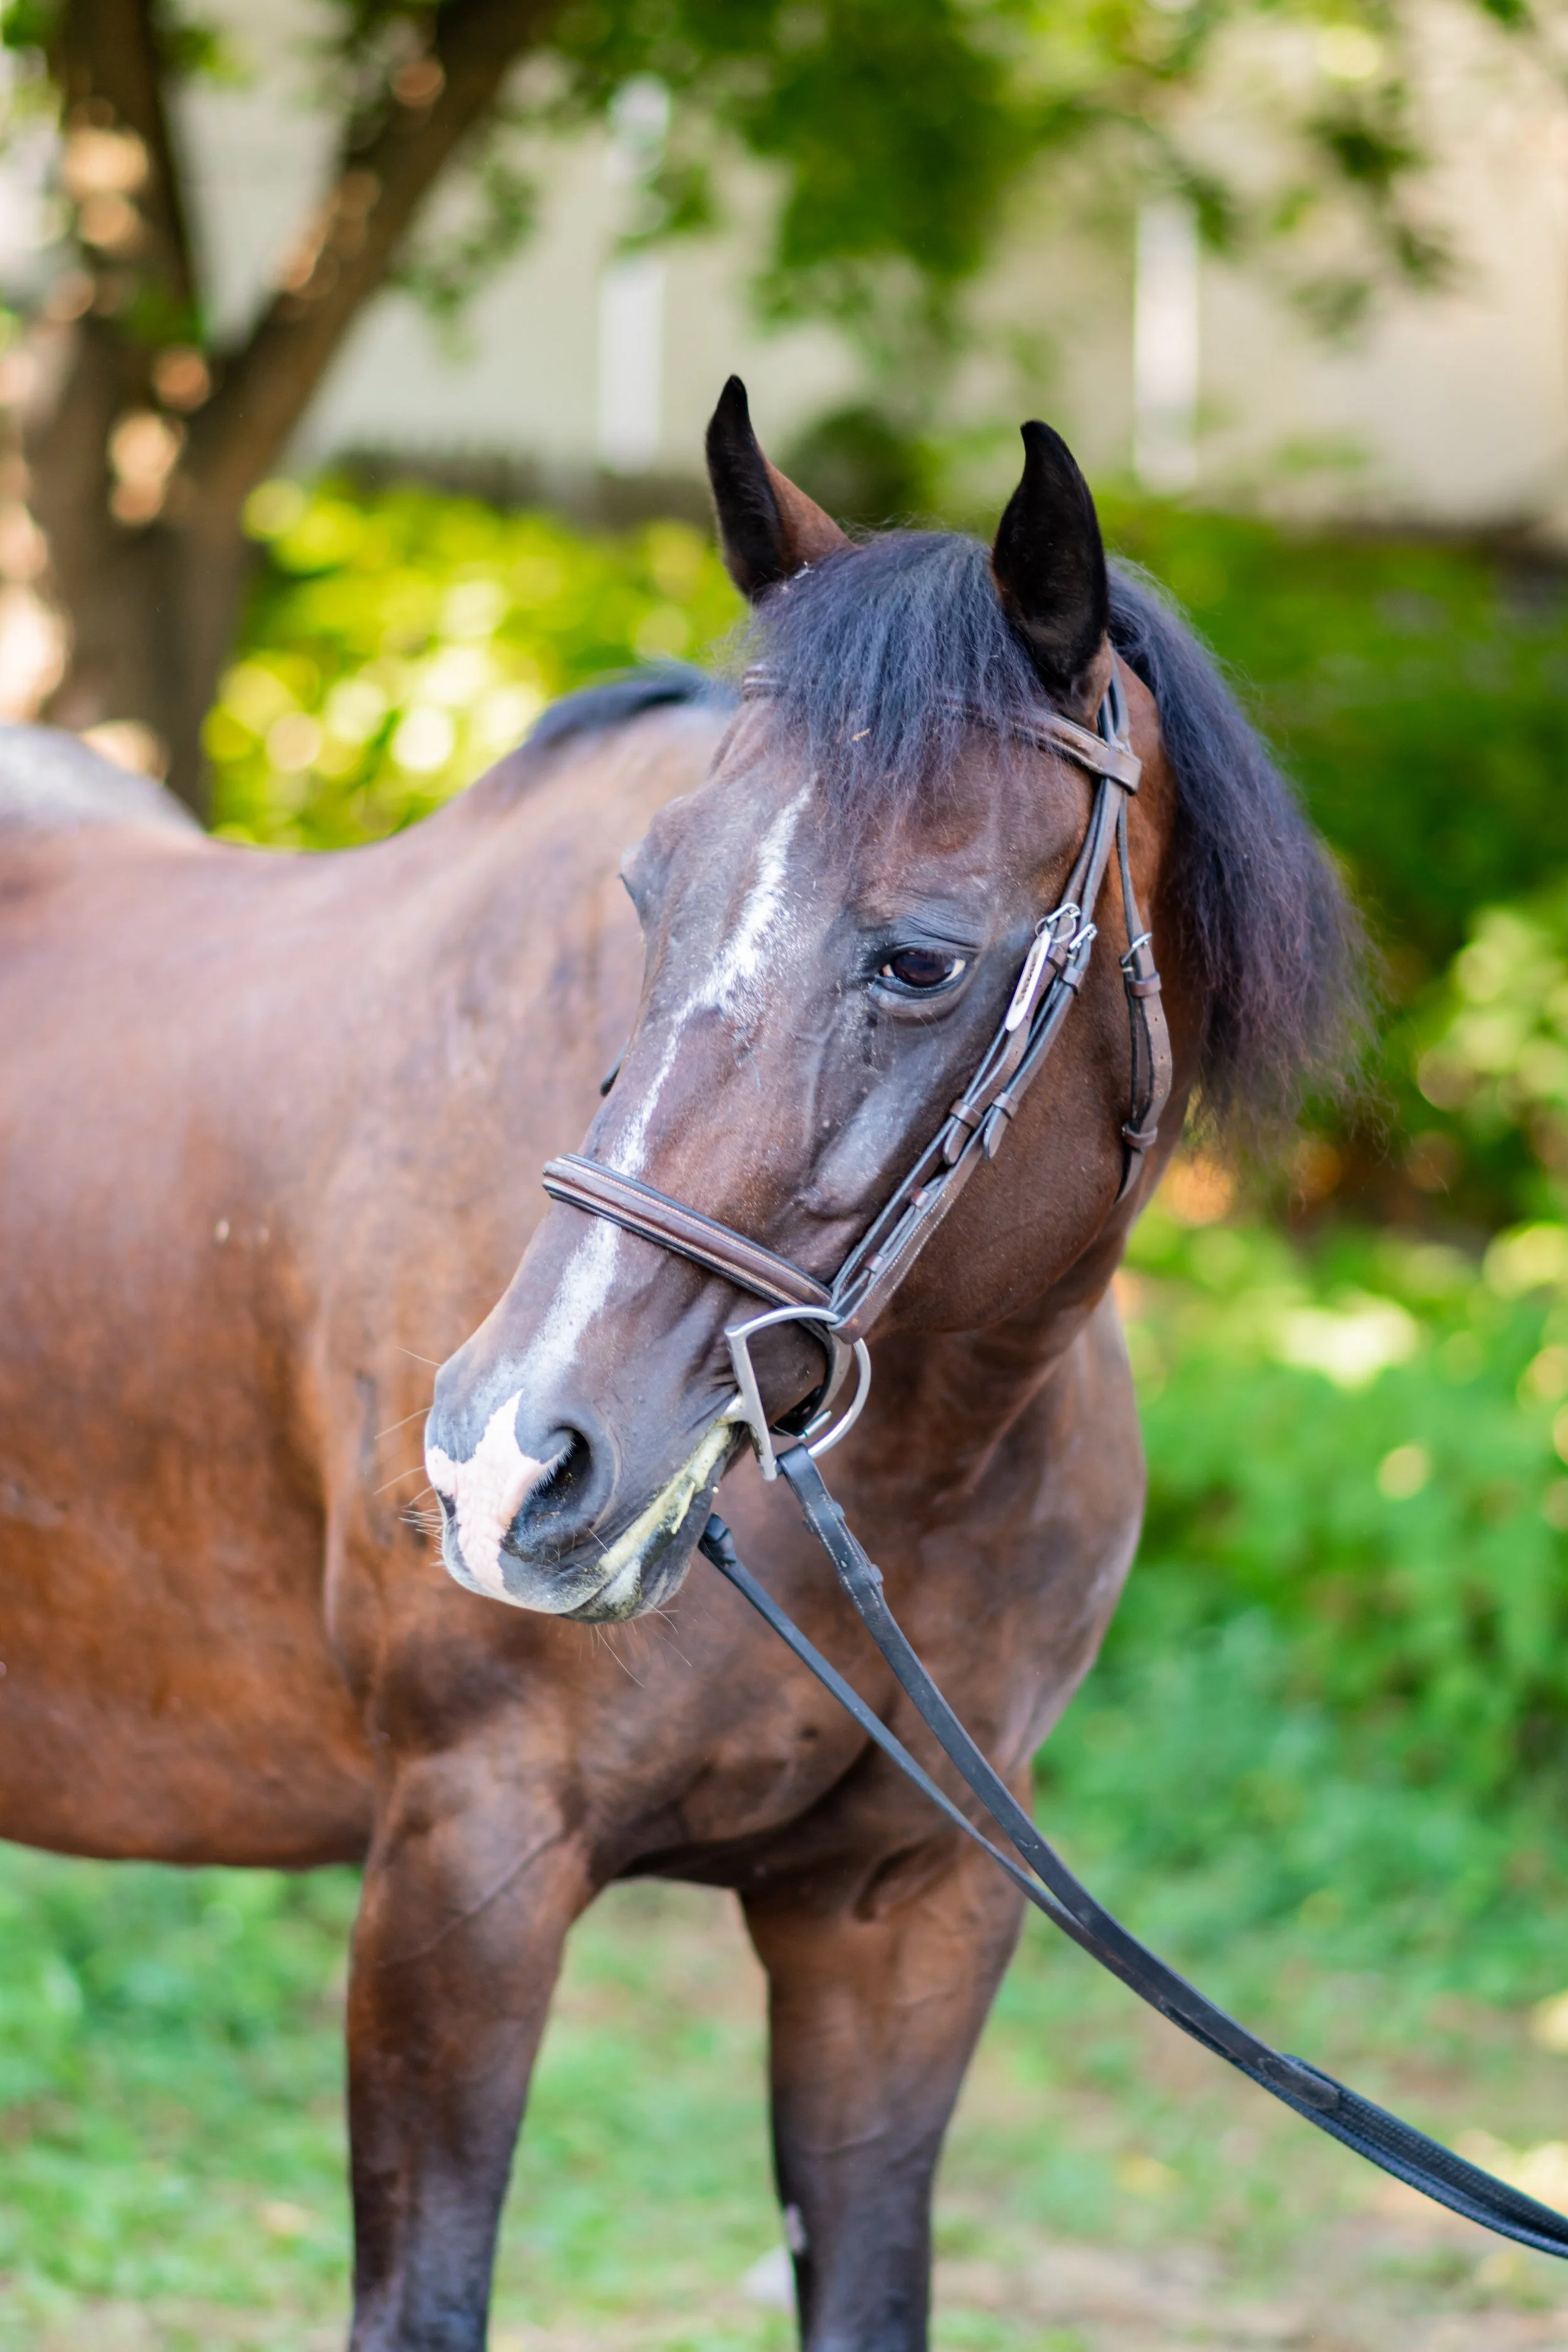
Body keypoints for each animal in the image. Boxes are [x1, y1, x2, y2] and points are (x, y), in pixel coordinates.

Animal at [0, 380, 1355, 2352]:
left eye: (920, 958)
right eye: (650, 891)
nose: (505, 1459)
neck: (908, 1471)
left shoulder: (899, 1911)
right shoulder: (467, 1868)